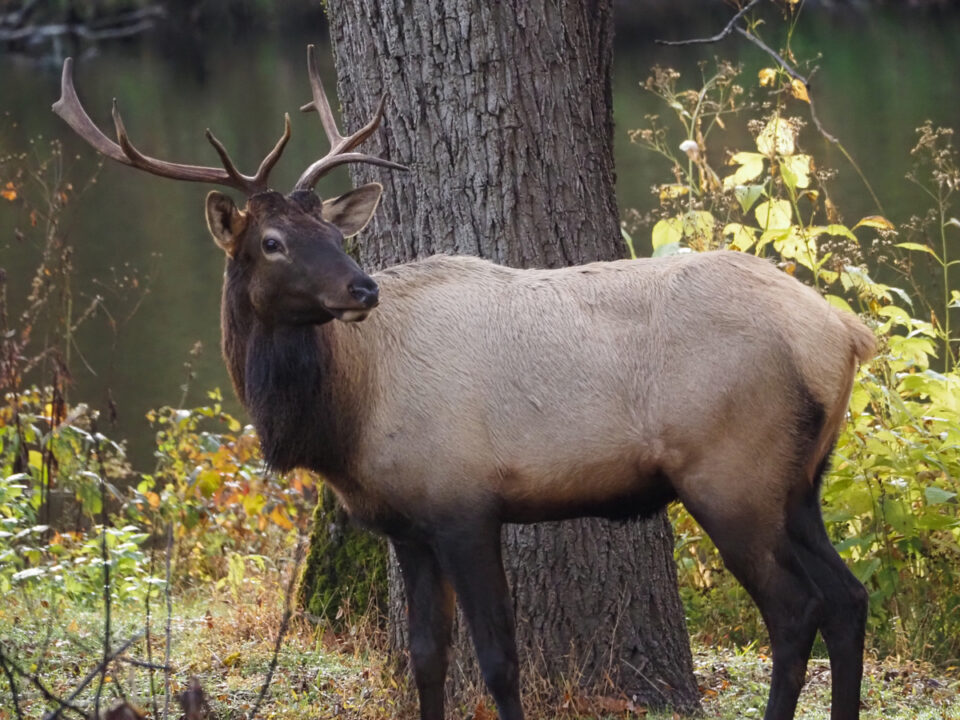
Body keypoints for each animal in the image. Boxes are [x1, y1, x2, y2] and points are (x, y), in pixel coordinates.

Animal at [54, 45, 874, 720]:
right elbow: (427, 658)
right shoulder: (409, 525)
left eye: (337, 232)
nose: (360, 288)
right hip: (800, 480)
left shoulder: (466, 503)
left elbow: (498, 661)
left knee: (796, 611)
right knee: (848, 597)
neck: (346, 418)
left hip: (731, 471)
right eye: (275, 241)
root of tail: (844, 335)